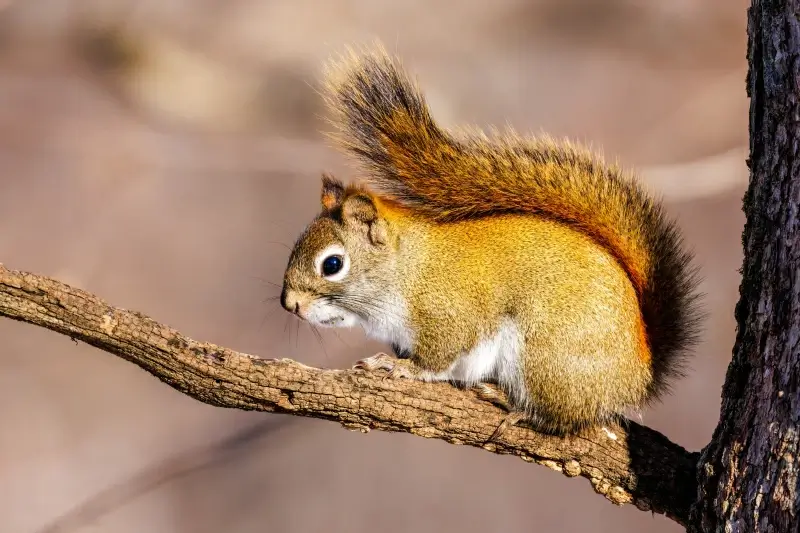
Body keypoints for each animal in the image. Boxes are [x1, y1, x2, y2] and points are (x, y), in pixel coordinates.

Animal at [280, 44, 703, 435]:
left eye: (333, 264)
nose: (290, 305)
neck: (406, 268)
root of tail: (639, 374)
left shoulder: (449, 314)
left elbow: (438, 357)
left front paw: (402, 367)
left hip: (544, 358)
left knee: (563, 418)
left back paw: (514, 406)